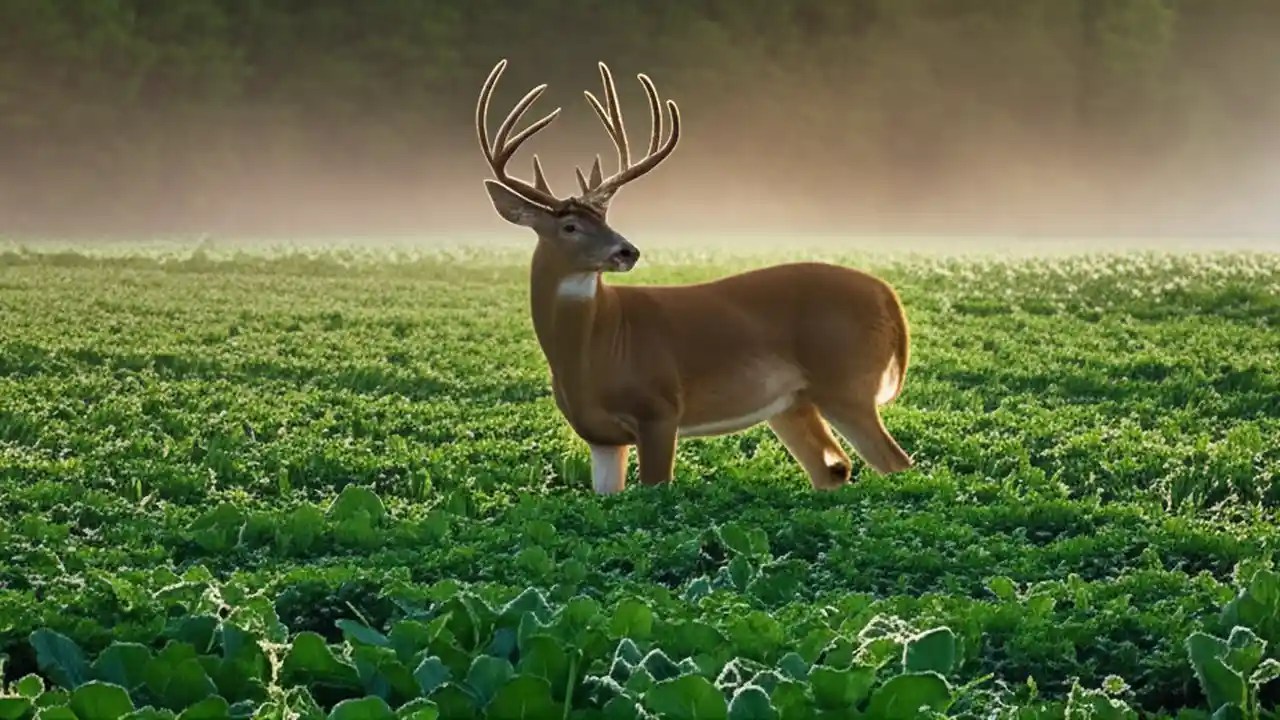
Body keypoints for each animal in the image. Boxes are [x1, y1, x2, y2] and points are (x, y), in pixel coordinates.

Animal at [475, 59, 914, 495]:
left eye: (605, 217)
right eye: (570, 226)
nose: (627, 251)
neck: (591, 352)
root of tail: (889, 296)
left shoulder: (660, 409)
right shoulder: (600, 437)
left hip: (847, 382)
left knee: (895, 462)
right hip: (792, 402)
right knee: (833, 468)